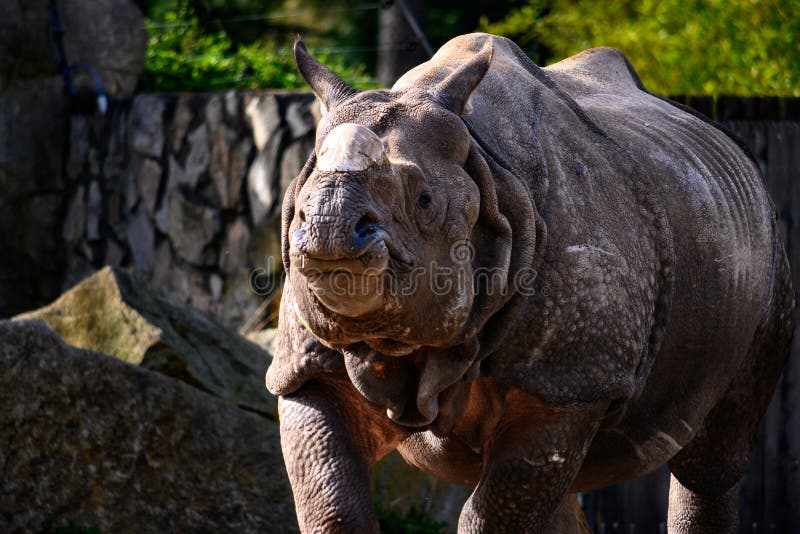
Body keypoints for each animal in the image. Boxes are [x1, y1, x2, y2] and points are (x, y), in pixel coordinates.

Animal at [265, 33, 794, 533]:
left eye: (425, 201)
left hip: (765, 254)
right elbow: (333, 503)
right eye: (301, 200)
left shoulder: (570, 384)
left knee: (711, 461)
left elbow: (494, 514)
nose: (329, 231)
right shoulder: (304, 369)